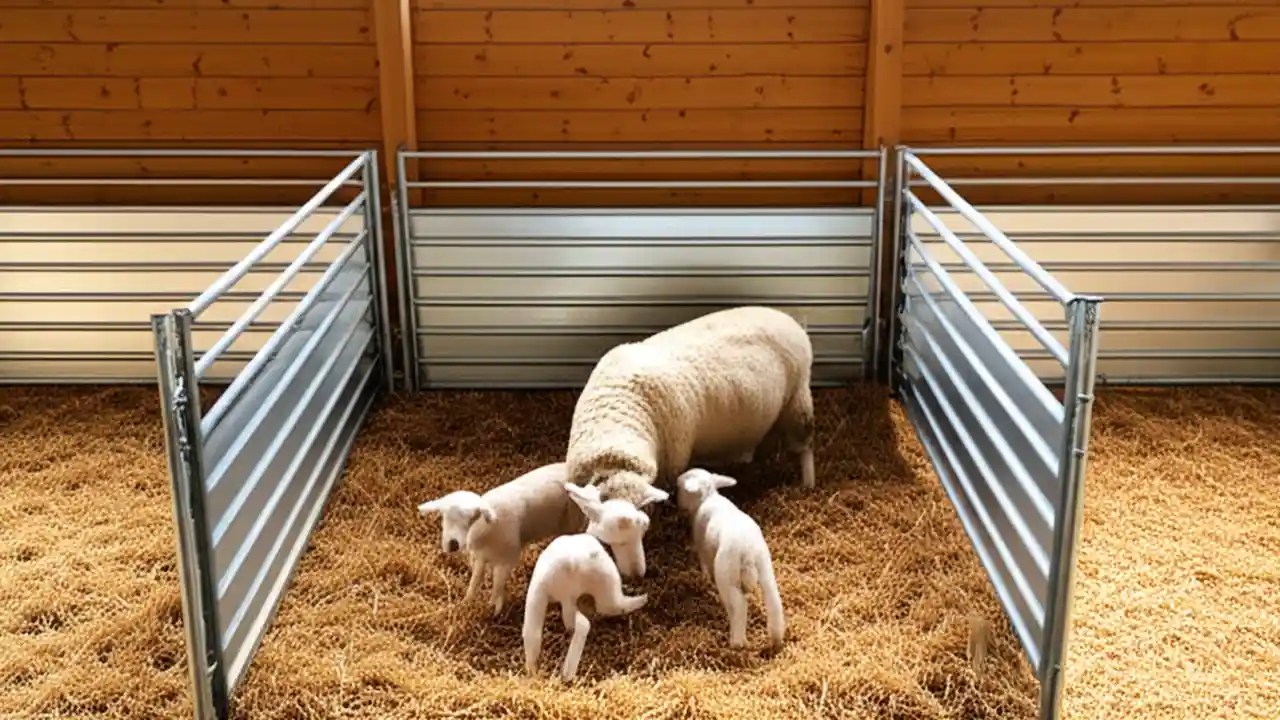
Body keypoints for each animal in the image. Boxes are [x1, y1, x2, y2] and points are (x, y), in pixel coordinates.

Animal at [416, 461, 585, 616]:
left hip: (573, 522)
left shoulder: (506, 560)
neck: (484, 532)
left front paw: (494, 609)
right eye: (444, 516)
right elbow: (475, 581)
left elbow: (497, 585)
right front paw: (466, 602)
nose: (453, 544)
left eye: (473, 518)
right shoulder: (480, 557)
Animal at [522, 533, 649, 681]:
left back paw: (538, 671)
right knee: (605, 610)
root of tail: (570, 564)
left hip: (539, 596)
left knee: (536, 634)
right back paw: (642, 598)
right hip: (606, 586)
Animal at [563, 306, 815, 577]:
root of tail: (788, 319)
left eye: (643, 528)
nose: (636, 575)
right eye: (607, 538)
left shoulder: (671, 465)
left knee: (805, 447)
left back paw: (808, 483)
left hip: (798, 398)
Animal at [676, 468, 785, 650]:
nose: (676, 501)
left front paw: (704, 578)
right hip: (764, 566)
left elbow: (704, 562)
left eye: (681, 488)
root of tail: (747, 553)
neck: (708, 496)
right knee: (773, 601)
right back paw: (776, 636)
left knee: (739, 606)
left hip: (727, 574)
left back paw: (736, 642)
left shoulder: (702, 546)